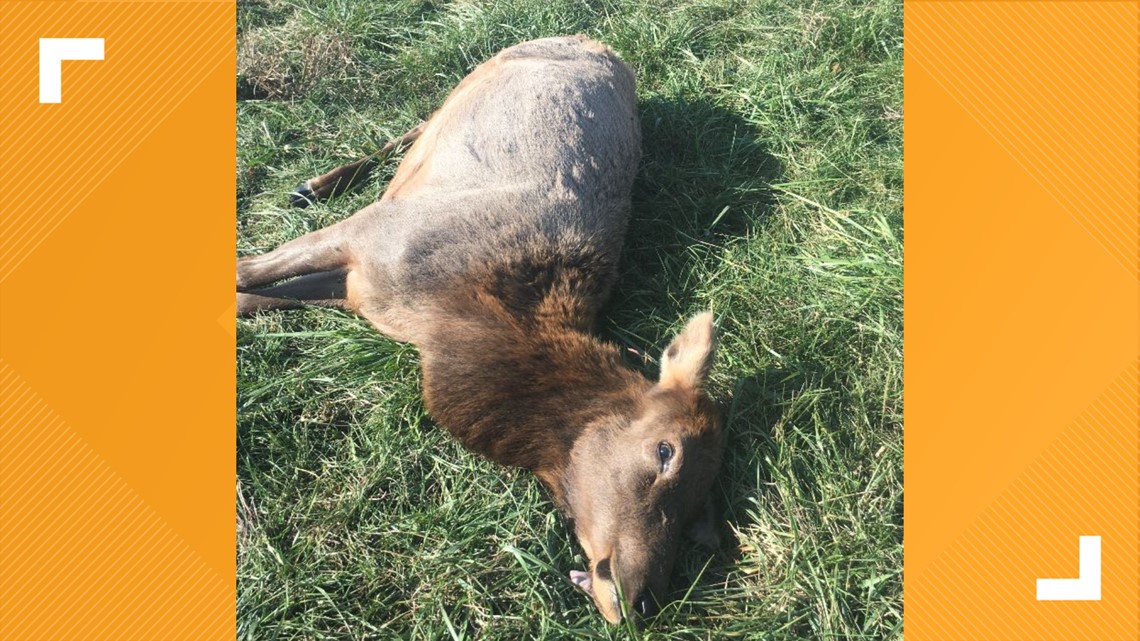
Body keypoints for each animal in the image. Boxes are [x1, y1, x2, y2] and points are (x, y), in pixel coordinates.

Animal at [237, 35, 724, 624]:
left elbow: (251, 298)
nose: (644, 598)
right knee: (412, 127)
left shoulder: (359, 289)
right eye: (665, 451)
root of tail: (593, 43)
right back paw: (314, 184)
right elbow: (244, 269)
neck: (448, 316)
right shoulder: (369, 236)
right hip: (471, 80)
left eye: (701, 518)